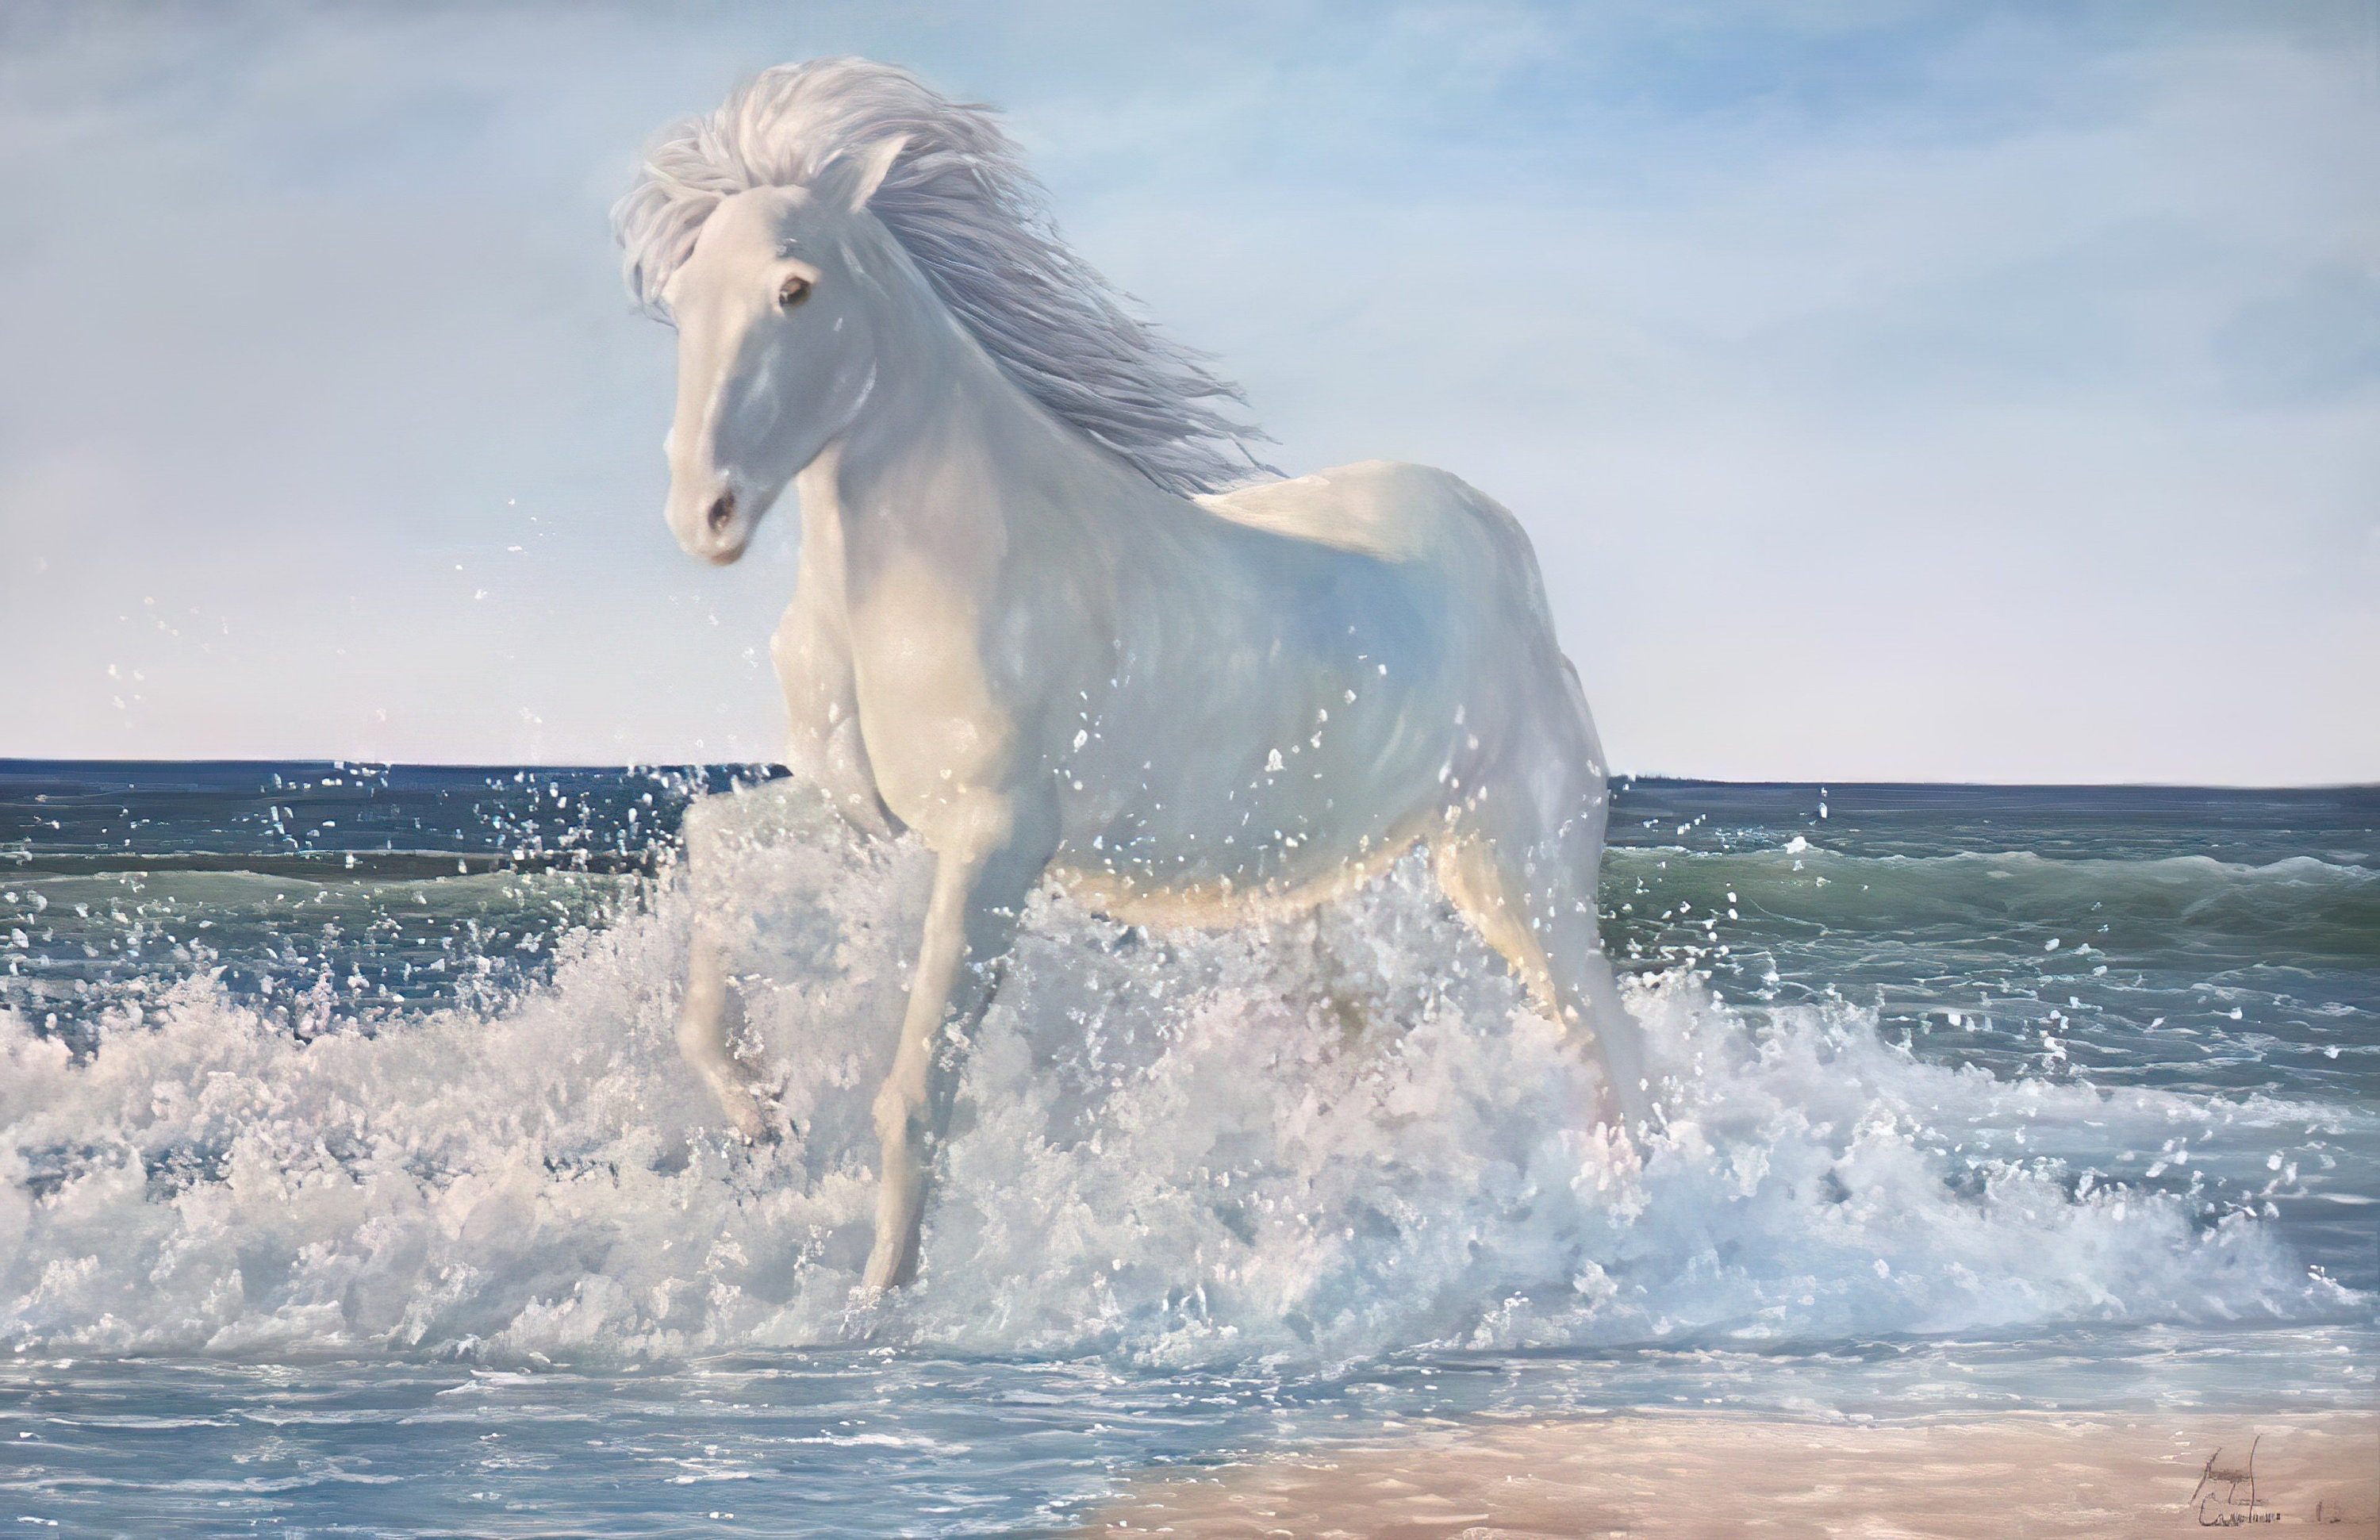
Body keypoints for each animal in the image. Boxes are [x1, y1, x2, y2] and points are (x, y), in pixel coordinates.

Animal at [614, 59, 1648, 1294]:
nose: (705, 515)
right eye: (681, 302)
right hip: (1317, 895)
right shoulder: (869, 814)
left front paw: (881, 1302)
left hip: (1511, 869)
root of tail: (1501, 548)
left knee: (1607, 1044)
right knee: (1377, 1048)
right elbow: (713, 839)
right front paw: (754, 1106)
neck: (923, 574)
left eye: (795, 289)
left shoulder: (994, 844)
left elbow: (918, 1092)